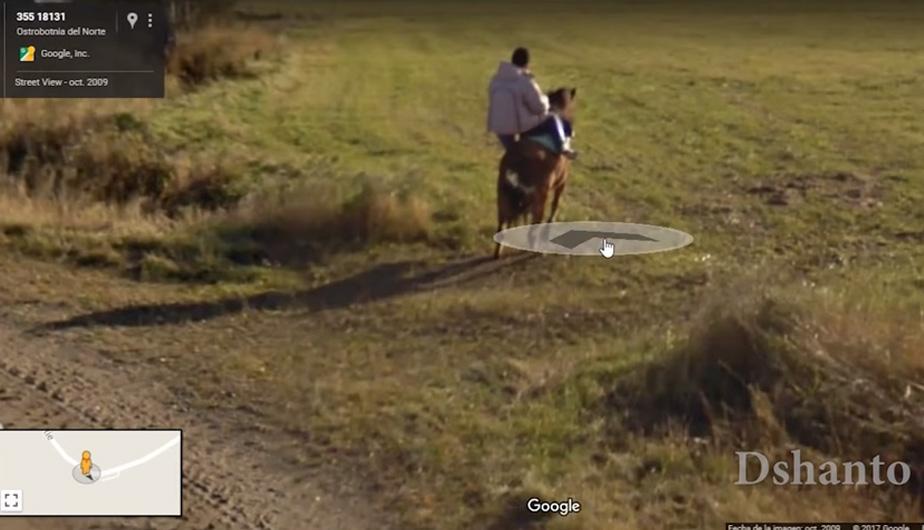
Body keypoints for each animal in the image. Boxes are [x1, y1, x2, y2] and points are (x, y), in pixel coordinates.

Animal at [494, 87, 577, 259]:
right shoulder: (562, 182)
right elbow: (555, 205)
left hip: (502, 196)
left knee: (501, 226)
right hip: (539, 200)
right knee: (534, 227)